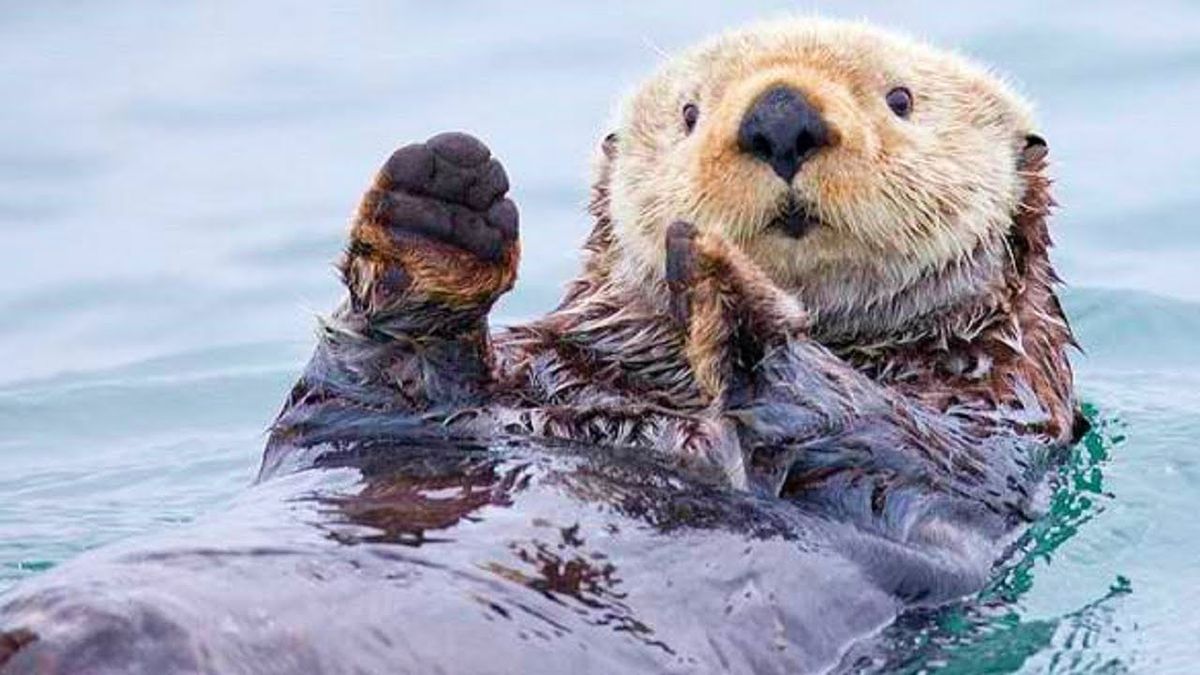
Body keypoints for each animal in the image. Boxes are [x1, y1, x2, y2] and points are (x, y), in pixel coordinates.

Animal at [0, 18, 1080, 675]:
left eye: (901, 99)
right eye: (690, 112)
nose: (781, 114)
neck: (646, 381)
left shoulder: (983, 436)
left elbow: (882, 434)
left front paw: (726, 289)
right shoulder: (460, 389)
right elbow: (378, 380)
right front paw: (439, 199)